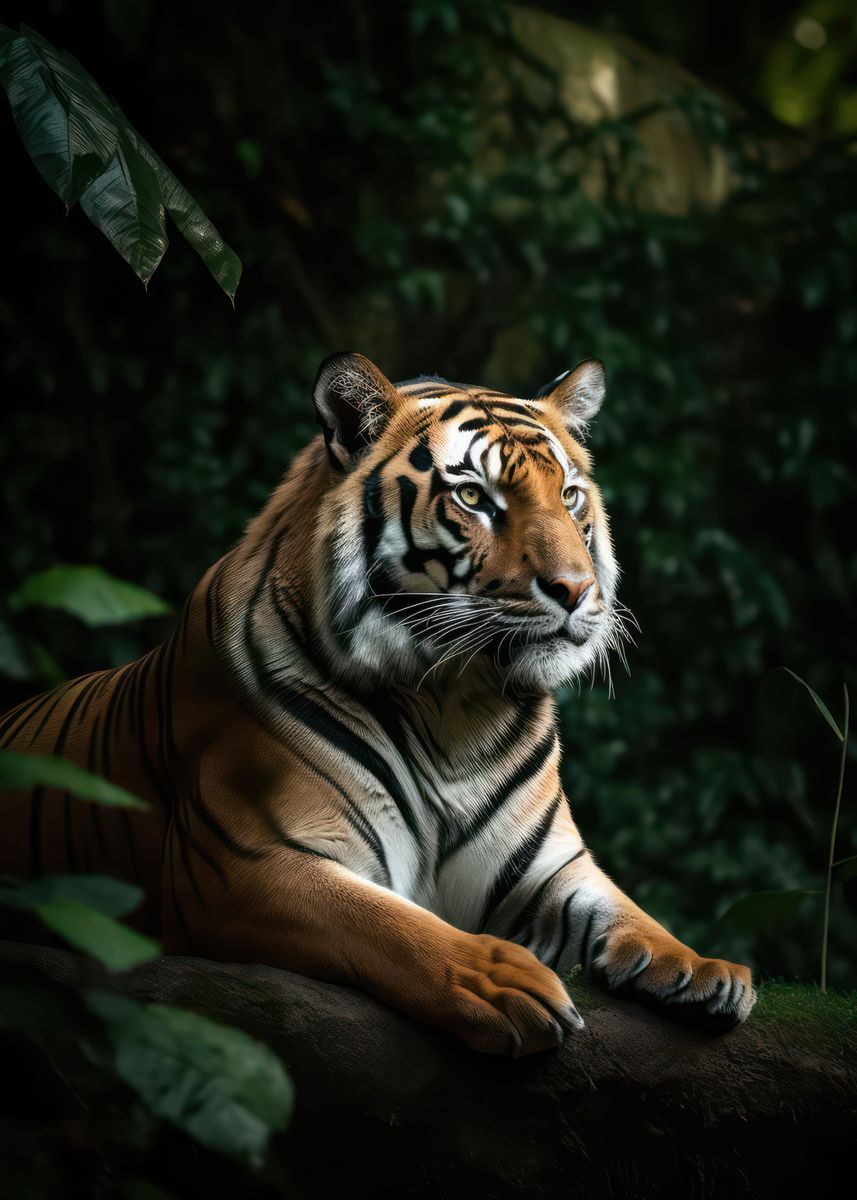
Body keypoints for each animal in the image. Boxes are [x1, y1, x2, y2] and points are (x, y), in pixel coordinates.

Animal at [0, 351, 755, 1055]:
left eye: (569, 496)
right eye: (474, 497)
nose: (575, 590)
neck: (459, 706)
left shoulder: (548, 869)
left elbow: (628, 913)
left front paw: (703, 969)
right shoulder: (246, 863)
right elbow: (389, 925)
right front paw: (499, 982)